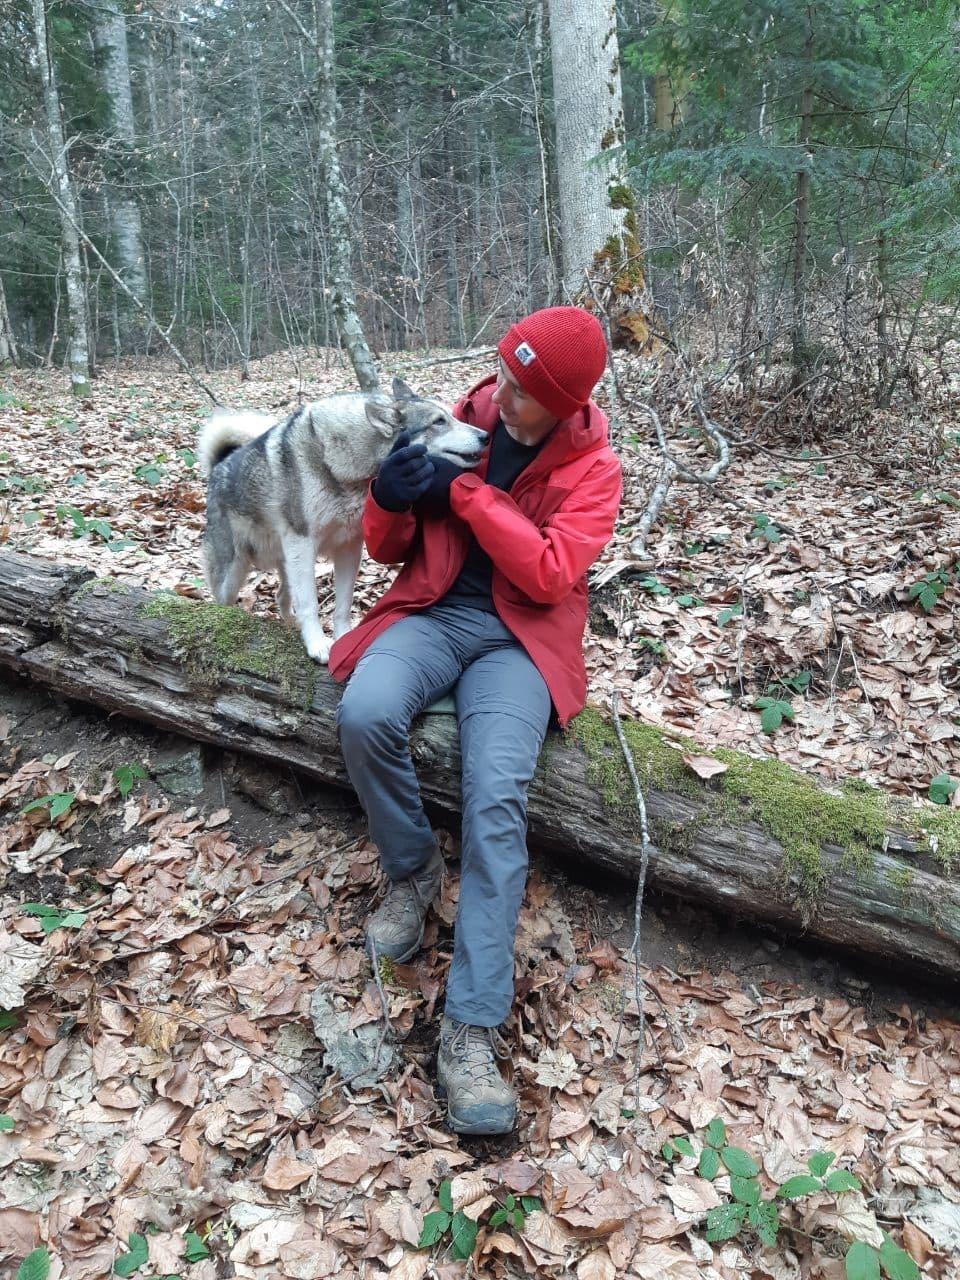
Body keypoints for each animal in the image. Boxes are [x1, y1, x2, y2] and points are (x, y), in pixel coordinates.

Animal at [198, 373, 483, 660]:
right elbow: (310, 603)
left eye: (452, 416)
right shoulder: (303, 545)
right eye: (439, 421)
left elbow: (343, 604)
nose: (485, 435)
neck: (341, 462)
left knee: (281, 596)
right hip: (236, 572)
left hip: (286, 564)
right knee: (222, 603)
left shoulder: (349, 547)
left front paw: (342, 639)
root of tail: (220, 465)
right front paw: (317, 644)